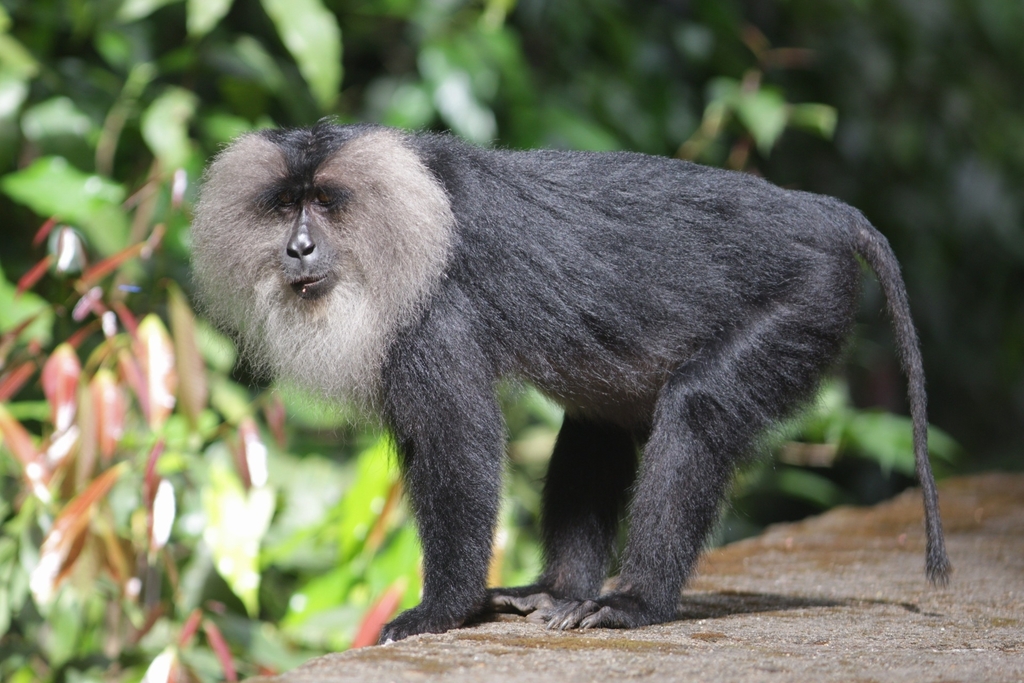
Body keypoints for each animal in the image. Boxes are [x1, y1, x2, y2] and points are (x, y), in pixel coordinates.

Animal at [190, 121, 950, 644]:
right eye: (285, 204)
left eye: (325, 201)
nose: (299, 248)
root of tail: (819, 213)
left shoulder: (435, 316)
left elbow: (460, 445)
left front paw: (440, 611)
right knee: (598, 424)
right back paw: (558, 591)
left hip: (806, 299)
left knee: (698, 410)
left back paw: (635, 605)